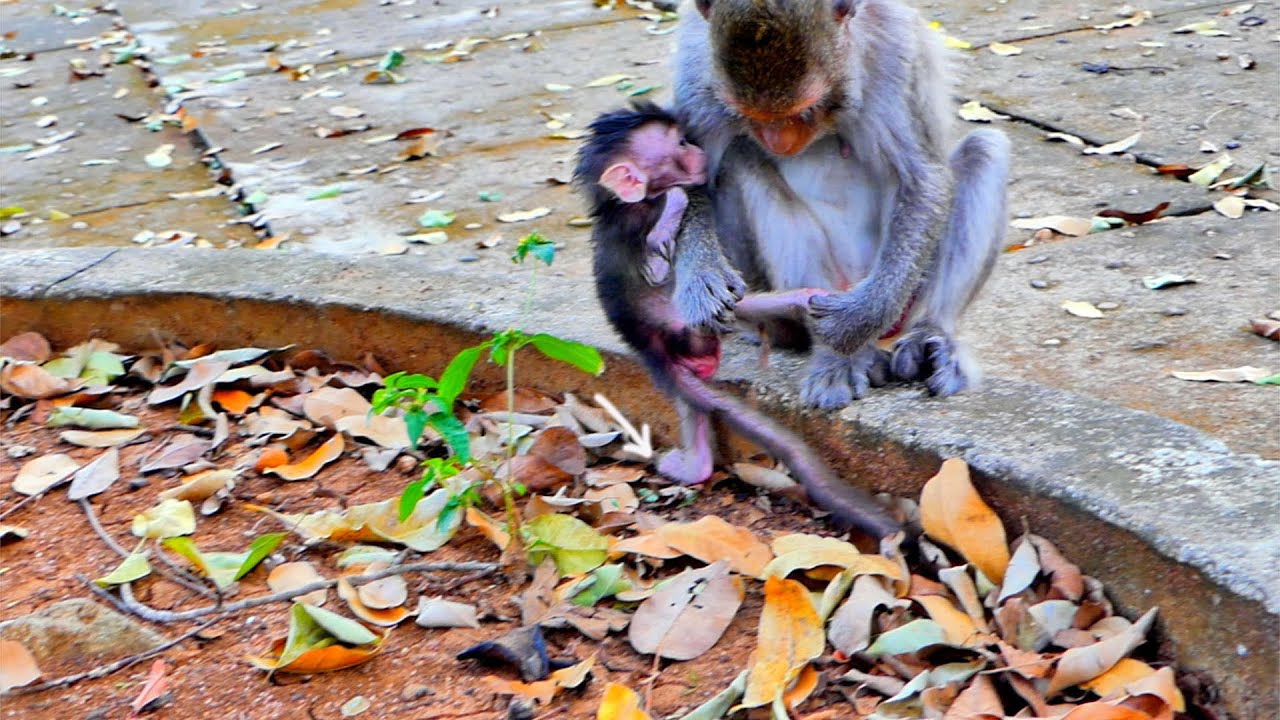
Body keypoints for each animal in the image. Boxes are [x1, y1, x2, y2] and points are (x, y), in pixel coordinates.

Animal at [575, 103, 902, 540]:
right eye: (681, 143)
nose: (698, 150)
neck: (620, 205)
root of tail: (650, 345)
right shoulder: (639, 224)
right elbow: (658, 266)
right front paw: (676, 199)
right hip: (683, 325)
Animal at [675, 0, 1011, 410]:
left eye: (805, 110)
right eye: (748, 114)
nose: (778, 141)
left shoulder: (895, 51)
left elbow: (922, 178)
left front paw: (858, 320)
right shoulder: (695, 64)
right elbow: (688, 173)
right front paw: (700, 284)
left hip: (906, 297)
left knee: (984, 148)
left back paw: (928, 334)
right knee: (737, 155)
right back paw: (823, 345)